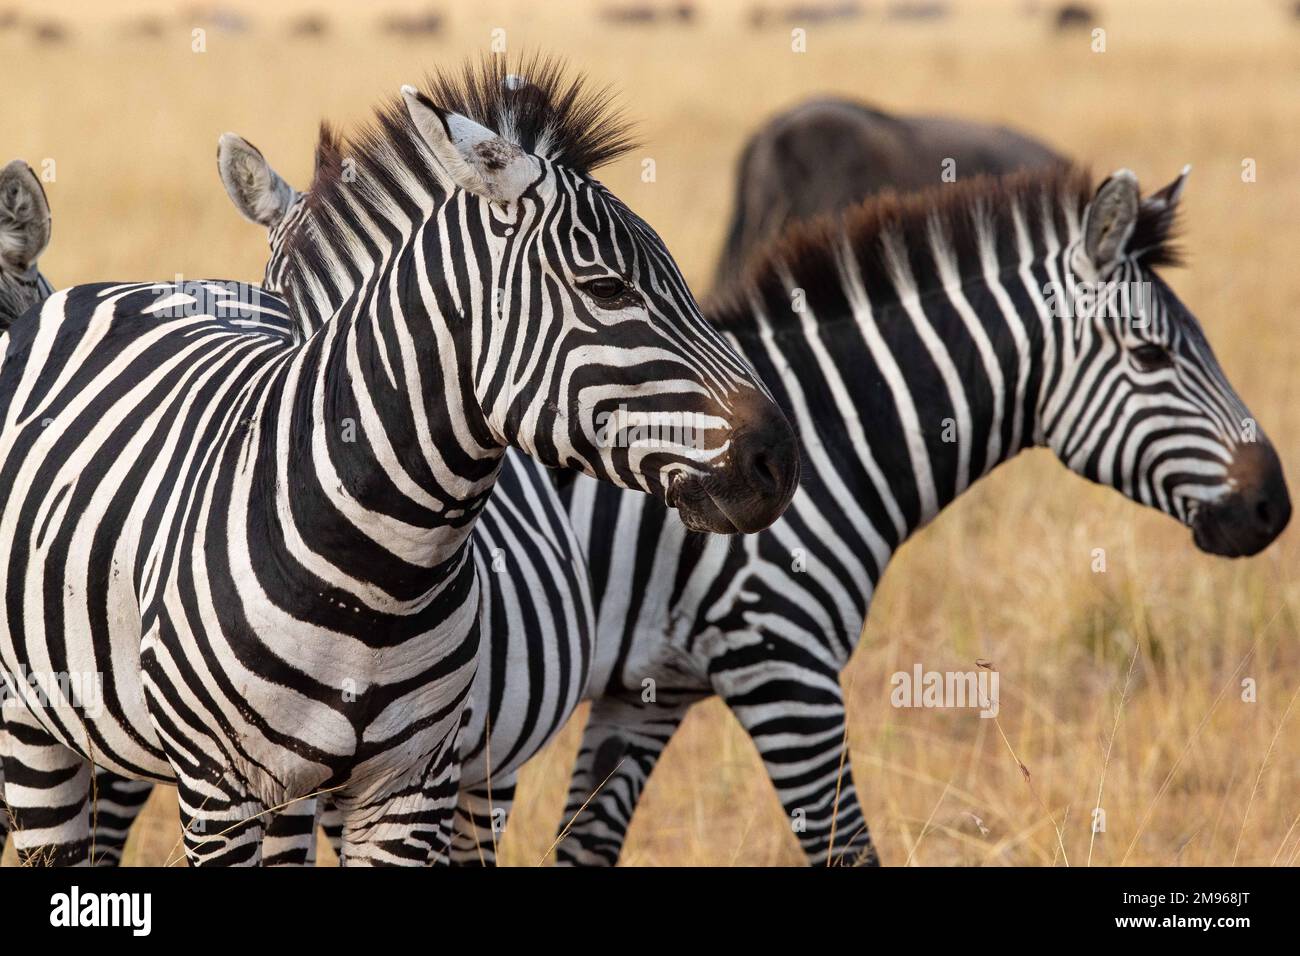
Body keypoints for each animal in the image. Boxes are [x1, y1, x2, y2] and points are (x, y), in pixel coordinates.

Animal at [0, 57, 799, 866]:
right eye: (607, 287)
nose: (778, 458)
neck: (380, 574)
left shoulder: (414, 787)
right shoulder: (221, 792)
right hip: (32, 729)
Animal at [549, 164, 1290, 865]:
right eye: (1150, 354)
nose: (1274, 508)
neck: (832, 434)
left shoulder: (650, 689)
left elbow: (584, 843)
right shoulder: (783, 666)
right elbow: (848, 848)